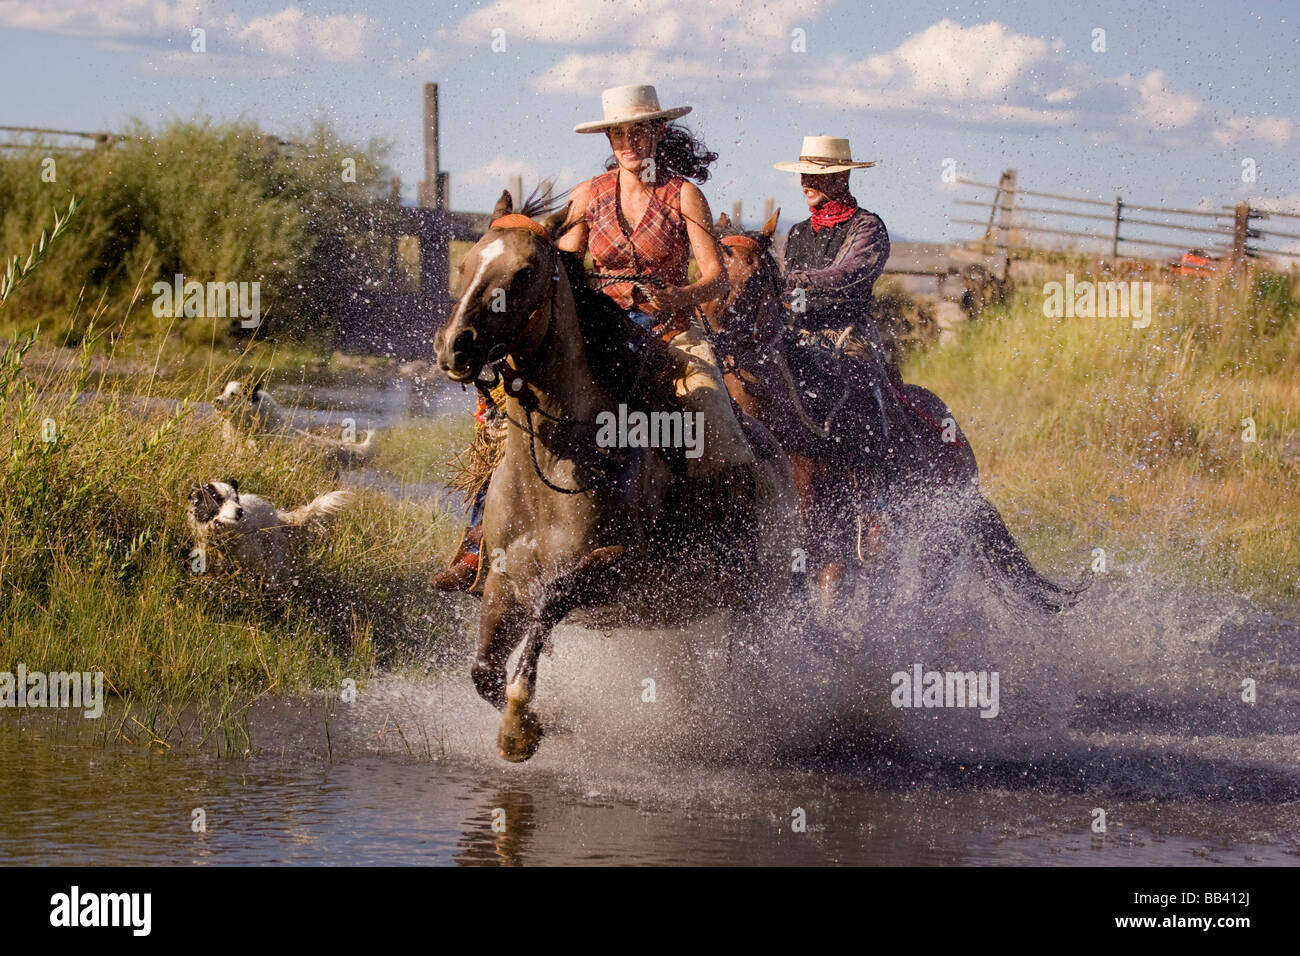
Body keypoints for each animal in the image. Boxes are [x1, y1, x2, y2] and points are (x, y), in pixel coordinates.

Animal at [433, 192, 800, 763]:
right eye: (468, 261)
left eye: (525, 270)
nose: (454, 345)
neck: (556, 465)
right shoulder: (500, 582)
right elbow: (483, 674)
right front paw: (548, 723)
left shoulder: (618, 569)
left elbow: (552, 602)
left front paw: (519, 727)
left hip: (756, 603)